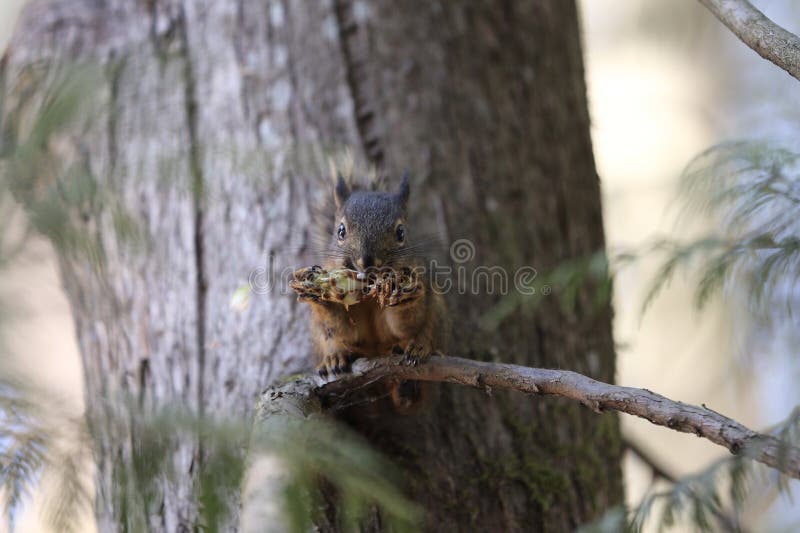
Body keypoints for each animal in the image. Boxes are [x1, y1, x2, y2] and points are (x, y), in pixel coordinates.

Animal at [297, 171, 447, 409]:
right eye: (341, 231)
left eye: (401, 232)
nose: (367, 261)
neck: (368, 293)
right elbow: (345, 330)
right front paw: (320, 293)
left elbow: (406, 324)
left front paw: (405, 296)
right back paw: (334, 358)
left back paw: (416, 357)